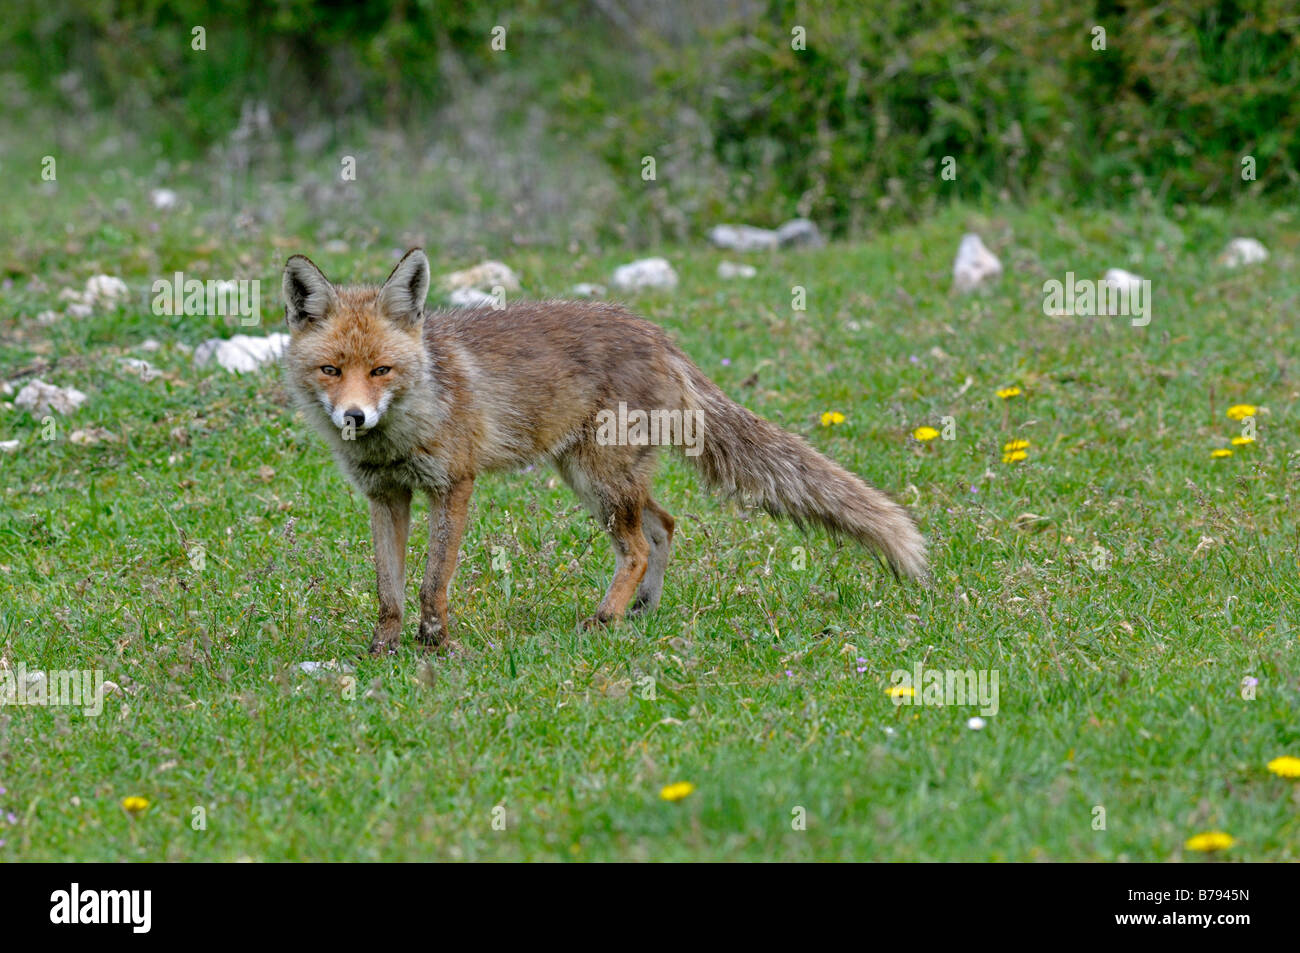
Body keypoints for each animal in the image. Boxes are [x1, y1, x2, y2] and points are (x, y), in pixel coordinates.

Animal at [281, 248, 927, 656]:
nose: (354, 417)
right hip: (598, 478)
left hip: (599, 477)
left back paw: (605, 618)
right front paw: (384, 649)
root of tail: (657, 334)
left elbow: (431, 580)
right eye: (332, 370)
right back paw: (641, 611)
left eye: (381, 371)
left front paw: (435, 644)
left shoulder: (453, 486)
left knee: (638, 546)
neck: (404, 428)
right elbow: (388, 587)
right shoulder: (385, 495)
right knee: (665, 526)